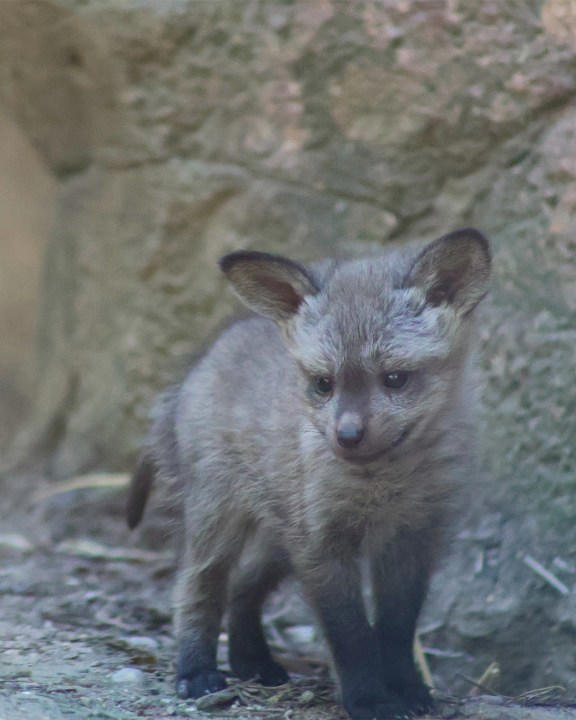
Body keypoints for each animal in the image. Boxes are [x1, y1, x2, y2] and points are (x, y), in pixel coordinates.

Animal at [127, 228, 491, 720]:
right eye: (323, 384)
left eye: (395, 378)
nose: (348, 436)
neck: (384, 485)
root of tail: (195, 367)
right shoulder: (322, 544)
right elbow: (351, 635)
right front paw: (369, 700)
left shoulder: (413, 539)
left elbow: (396, 630)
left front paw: (408, 690)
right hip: (220, 516)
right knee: (197, 585)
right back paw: (197, 673)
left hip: (279, 538)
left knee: (243, 589)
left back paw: (252, 663)